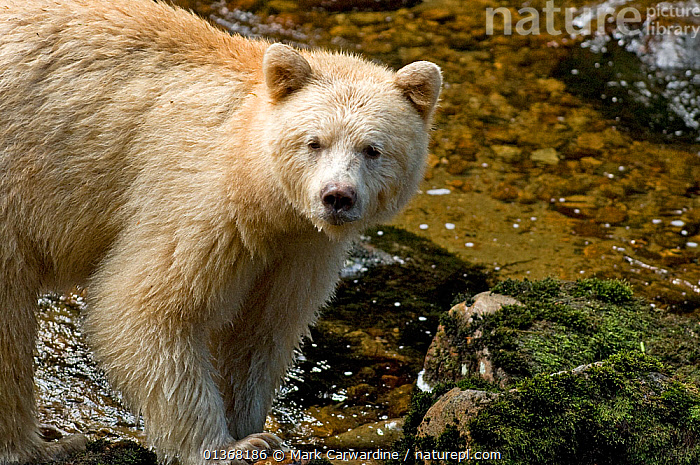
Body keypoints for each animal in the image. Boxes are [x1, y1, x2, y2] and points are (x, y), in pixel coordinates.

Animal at [0, 0, 441, 464]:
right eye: (314, 142)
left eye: (372, 149)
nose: (337, 197)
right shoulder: (201, 200)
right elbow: (146, 308)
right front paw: (229, 445)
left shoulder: (300, 249)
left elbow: (259, 333)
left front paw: (255, 427)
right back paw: (43, 444)